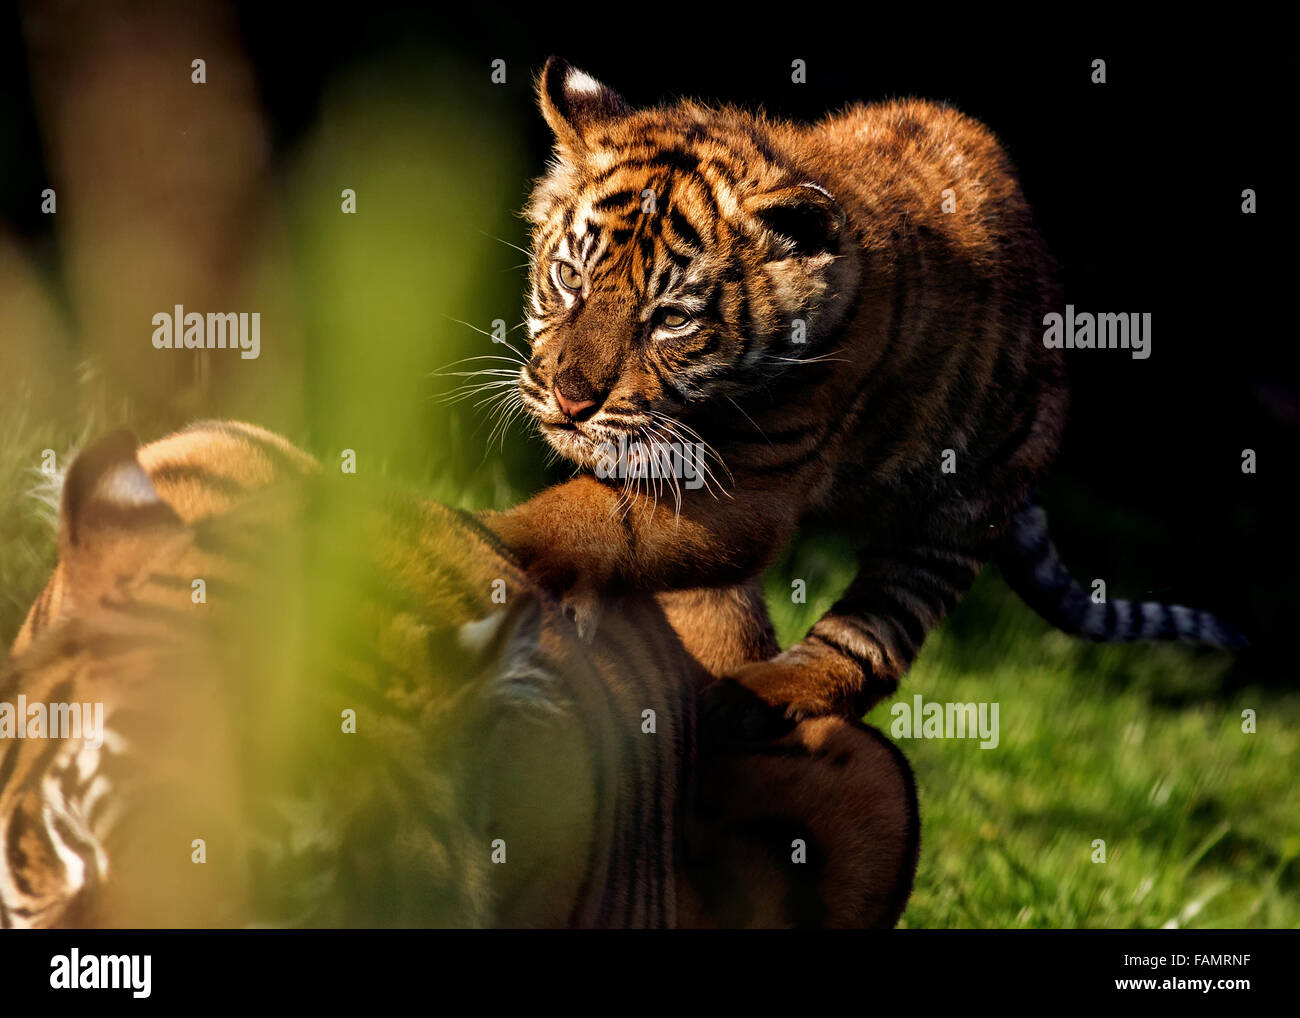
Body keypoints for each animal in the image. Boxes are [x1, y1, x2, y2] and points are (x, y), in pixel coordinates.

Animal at [487, 57, 1246, 739]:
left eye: (672, 319)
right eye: (569, 277)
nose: (570, 401)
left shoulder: (742, 491)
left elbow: (588, 519)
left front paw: (488, 540)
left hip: (952, 518)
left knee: (873, 648)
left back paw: (754, 700)